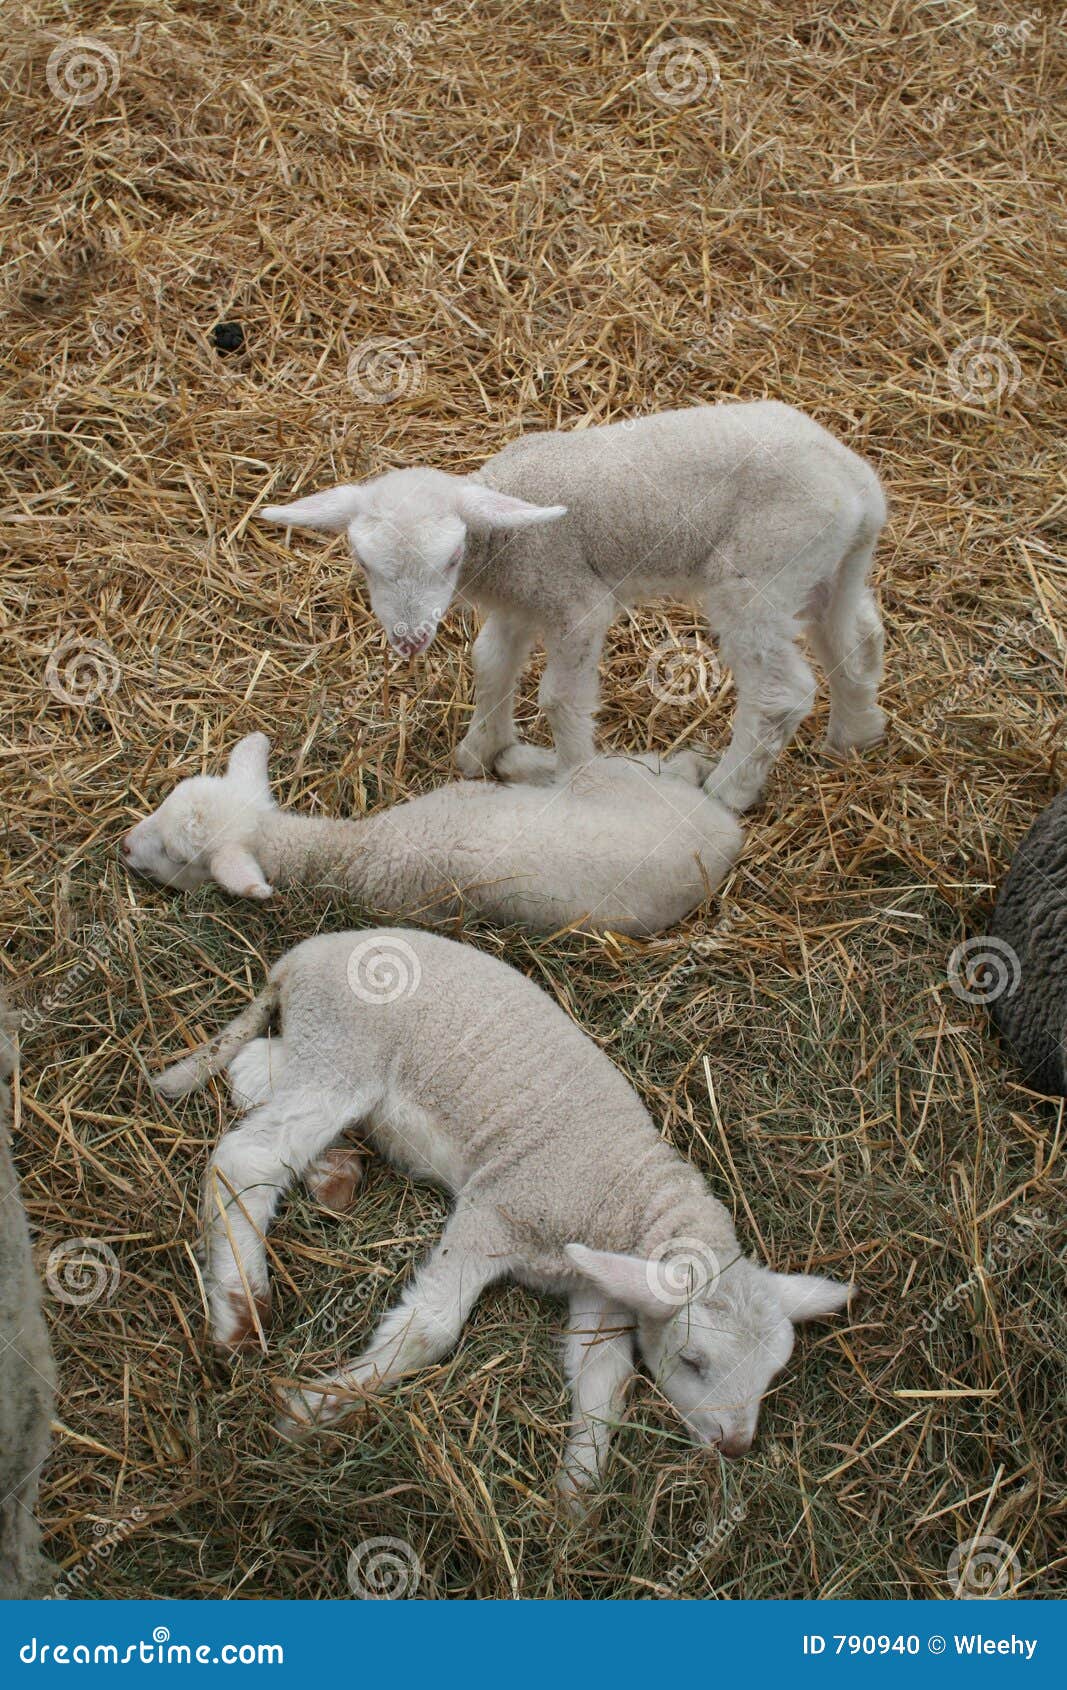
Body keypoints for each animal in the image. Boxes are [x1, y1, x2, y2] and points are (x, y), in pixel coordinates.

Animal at [152, 929, 852, 1509]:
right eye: (694, 1362)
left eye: (773, 1373)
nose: (734, 1447)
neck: (628, 1193)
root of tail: (299, 958)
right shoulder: (498, 1210)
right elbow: (433, 1328)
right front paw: (318, 1405)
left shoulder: (601, 1287)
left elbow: (604, 1383)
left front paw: (576, 1500)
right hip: (343, 1049)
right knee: (247, 1155)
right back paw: (240, 1311)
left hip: (320, 1051)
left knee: (250, 1072)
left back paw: (332, 1173)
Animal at [260, 400, 887, 812]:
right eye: (364, 563)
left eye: (452, 556)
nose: (409, 640)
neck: (500, 540)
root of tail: (857, 483)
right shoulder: (518, 603)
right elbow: (490, 665)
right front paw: (481, 749)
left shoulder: (573, 601)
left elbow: (559, 699)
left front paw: (572, 778)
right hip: (828, 564)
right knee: (857, 641)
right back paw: (853, 738)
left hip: (760, 570)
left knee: (780, 694)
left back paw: (728, 789)